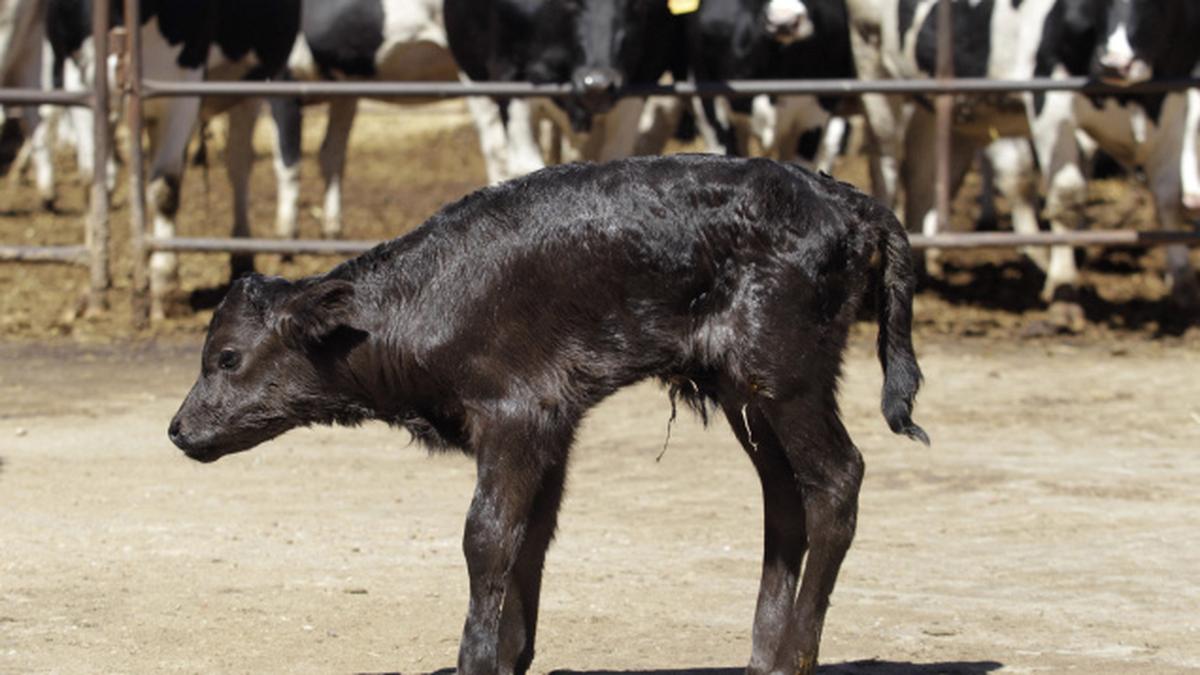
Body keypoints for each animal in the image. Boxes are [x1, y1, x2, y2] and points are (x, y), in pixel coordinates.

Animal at [46, 0, 300, 320]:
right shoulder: (80, 83)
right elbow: (93, 181)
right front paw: (97, 279)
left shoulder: (184, 84)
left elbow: (165, 187)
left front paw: (165, 286)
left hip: (253, 80)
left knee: (239, 164)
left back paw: (241, 254)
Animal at [169, 154, 928, 675]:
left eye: (227, 358)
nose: (178, 429)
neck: (423, 300)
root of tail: (844, 198)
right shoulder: (552, 424)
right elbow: (529, 535)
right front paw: (511, 654)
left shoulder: (514, 417)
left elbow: (487, 536)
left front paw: (474, 658)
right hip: (746, 392)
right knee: (785, 498)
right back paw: (764, 654)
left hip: (789, 376)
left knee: (836, 479)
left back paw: (796, 652)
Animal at [444, 0, 684, 184]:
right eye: (572, 2)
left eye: (637, 4)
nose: (598, 83)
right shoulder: (510, 79)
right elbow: (525, 166)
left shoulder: (639, 84)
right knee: (496, 151)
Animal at [849, 0, 1200, 330]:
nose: (1115, 64)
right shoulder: (1051, 98)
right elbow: (1067, 197)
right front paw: (1064, 294)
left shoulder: (1172, 101)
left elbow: (1168, 199)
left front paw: (1183, 286)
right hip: (875, 66)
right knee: (887, 164)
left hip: (932, 103)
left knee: (922, 175)